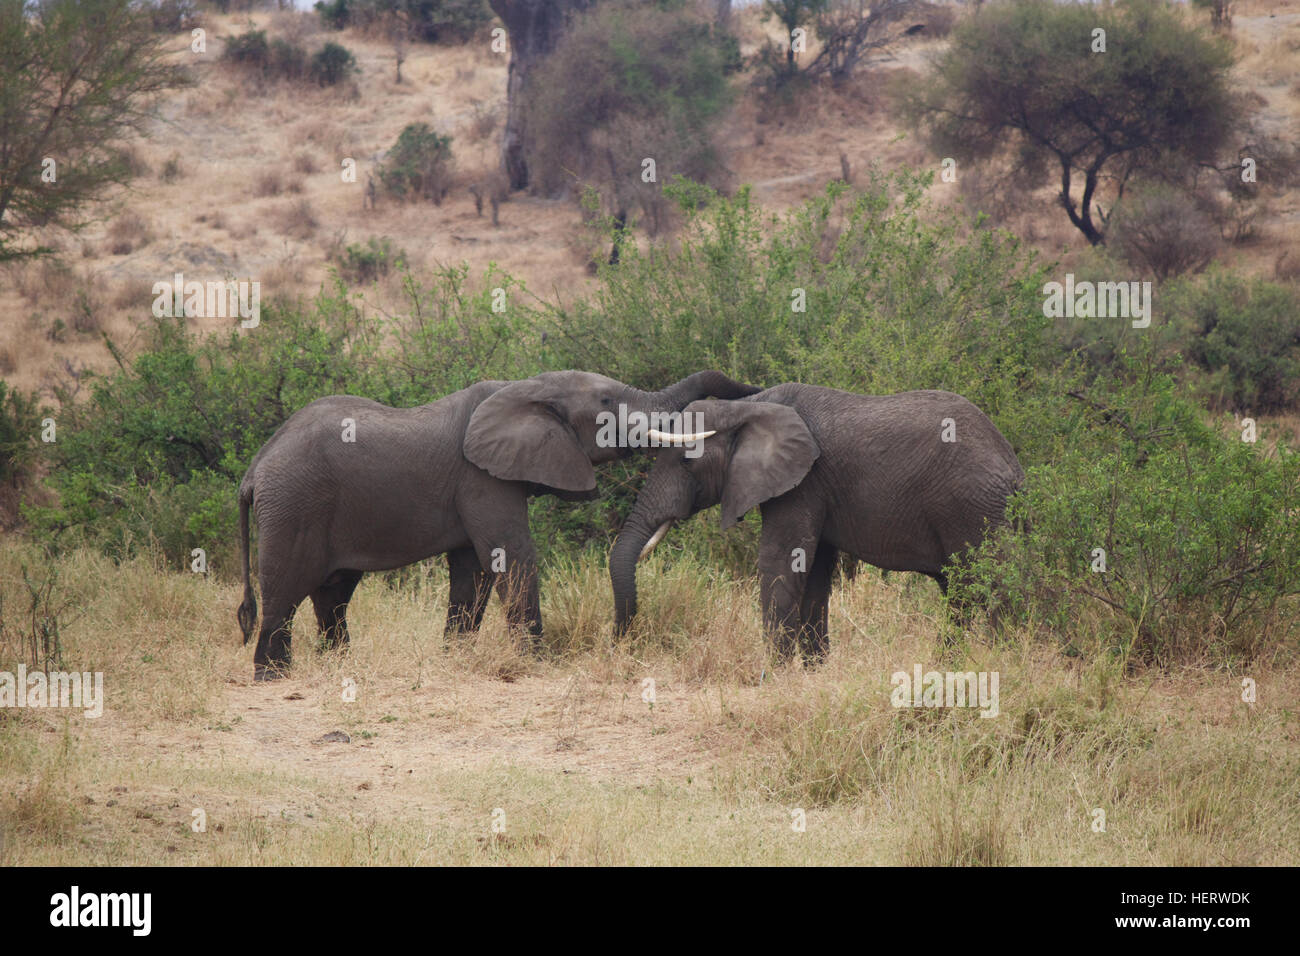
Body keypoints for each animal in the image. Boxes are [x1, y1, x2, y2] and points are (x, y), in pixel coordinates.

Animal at [237, 370, 759, 680]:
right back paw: (273, 675)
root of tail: (255, 466)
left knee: (334, 592)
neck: (528, 387)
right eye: (608, 399)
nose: (755, 390)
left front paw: (457, 659)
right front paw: (536, 663)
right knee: (286, 588)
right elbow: (512, 555)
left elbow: (473, 571)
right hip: (293, 505)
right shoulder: (482, 477)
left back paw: (339, 664)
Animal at [609, 385, 1025, 662]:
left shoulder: (804, 482)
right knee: (960, 592)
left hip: (975, 506)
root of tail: (1013, 464)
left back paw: (1005, 662)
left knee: (995, 586)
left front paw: (774, 675)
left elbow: (781, 560)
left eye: (685, 461)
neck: (747, 407)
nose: (619, 643)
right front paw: (812, 669)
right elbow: (815, 574)